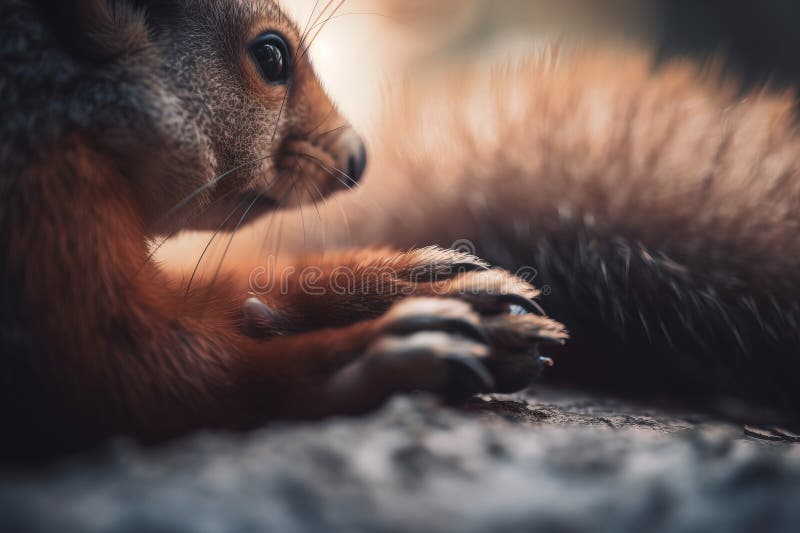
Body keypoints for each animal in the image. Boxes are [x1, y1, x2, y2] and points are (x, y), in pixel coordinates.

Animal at [1, 0, 564, 461]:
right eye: (271, 57)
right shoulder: (49, 211)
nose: (358, 158)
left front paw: (398, 285)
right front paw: (376, 348)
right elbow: (128, 370)